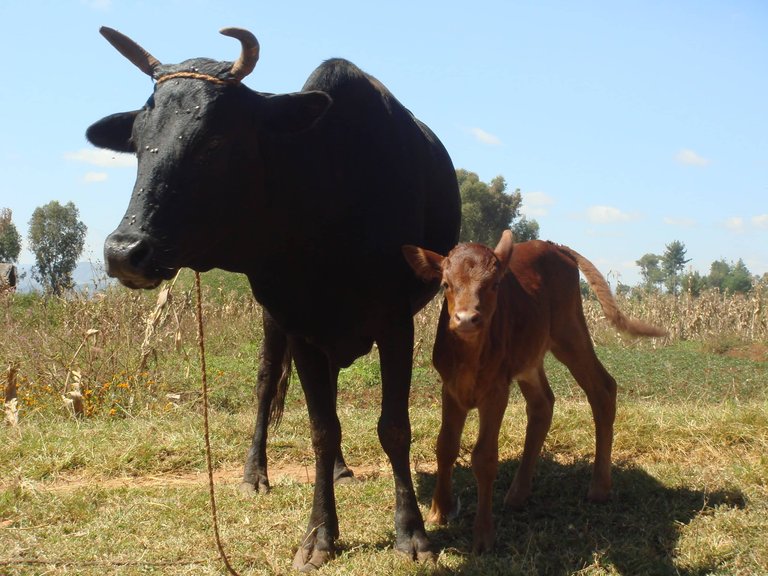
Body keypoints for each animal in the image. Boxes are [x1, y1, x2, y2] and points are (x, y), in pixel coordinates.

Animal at [86, 27, 461, 571]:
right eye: (136, 142)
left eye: (215, 140)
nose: (125, 251)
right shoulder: (298, 323)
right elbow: (322, 429)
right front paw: (320, 536)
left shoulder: (395, 322)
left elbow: (393, 426)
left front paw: (411, 533)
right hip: (275, 324)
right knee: (267, 387)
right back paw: (255, 474)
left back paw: (342, 470)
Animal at [403, 230, 666, 554]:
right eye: (445, 284)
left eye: (494, 284)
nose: (466, 318)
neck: (469, 357)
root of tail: (554, 246)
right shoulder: (450, 388)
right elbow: (445, 446)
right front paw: (439, 511)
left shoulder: (496, 390)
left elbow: (484, 458)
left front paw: (483, 535)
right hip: (531, 358)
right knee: (543, 403)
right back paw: (518, 493)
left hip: (569, 332)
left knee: (603, 388)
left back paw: (599, 487)